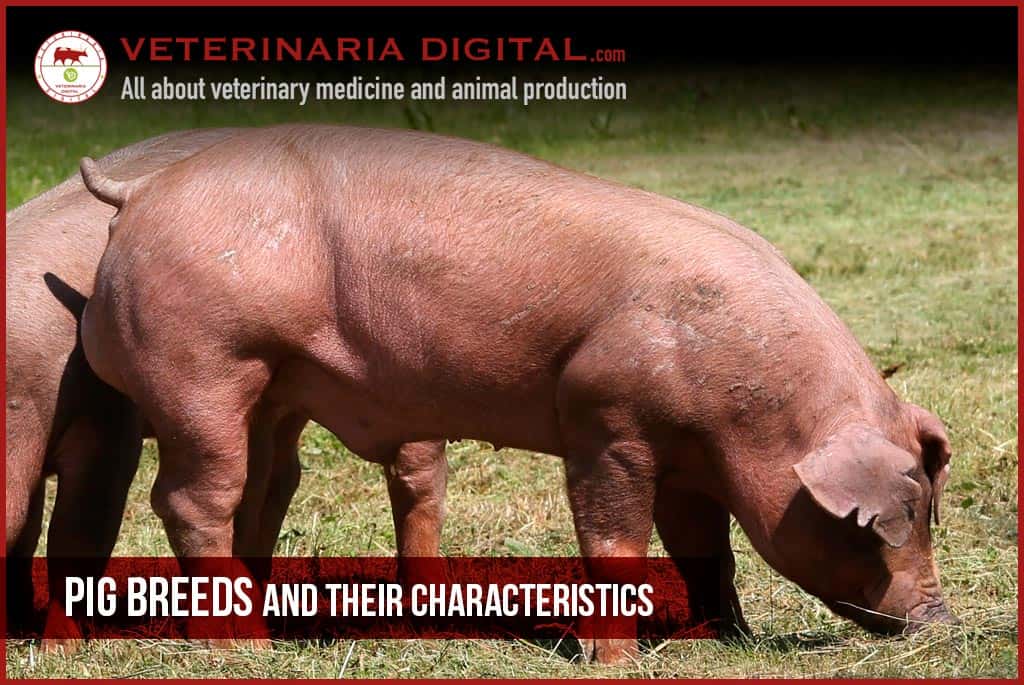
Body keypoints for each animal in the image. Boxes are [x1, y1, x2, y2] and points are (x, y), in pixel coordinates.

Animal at [78, 124, 957, 663]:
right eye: (901, 513)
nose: (940, 617)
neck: (753, 408)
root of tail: (139, 193)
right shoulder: (606, 419)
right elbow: (614, 540)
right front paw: (617, 660)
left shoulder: (692, 461)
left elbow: (706, 546)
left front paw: (730, 637)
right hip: (199, 365)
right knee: (192, 495)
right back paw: (243, 646)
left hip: (271, 388)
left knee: (263, 487)